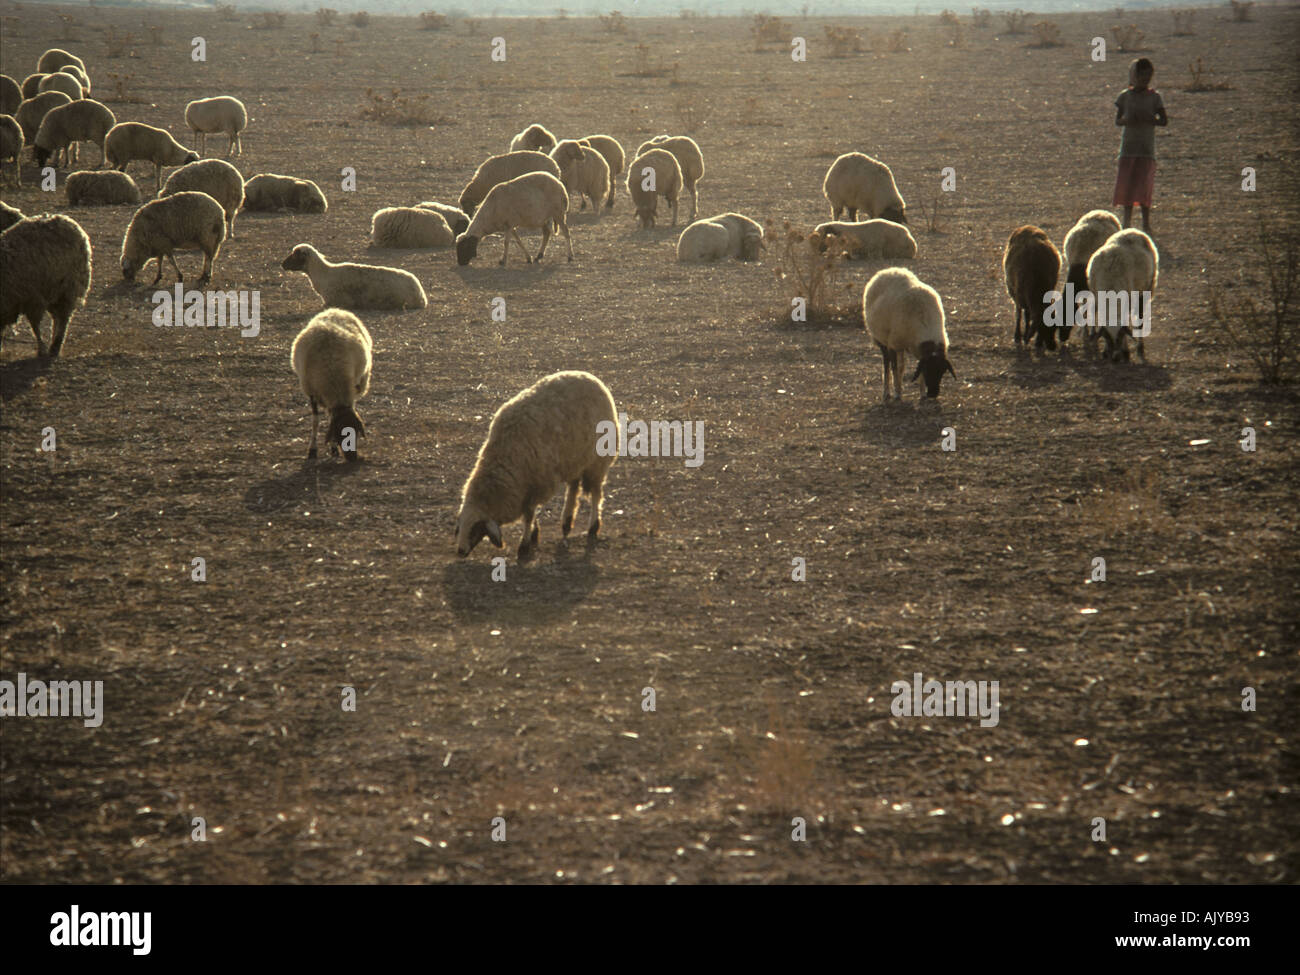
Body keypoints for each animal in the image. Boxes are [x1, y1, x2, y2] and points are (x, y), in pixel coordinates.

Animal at [0, 213, 92, 358]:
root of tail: (64, 218)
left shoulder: (32, 298)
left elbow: (35, 326)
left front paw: (41, 349)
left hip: (69, 287)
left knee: (64, 318)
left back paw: (56, 346)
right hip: (53, 288)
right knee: (57, 318)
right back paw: (54, 343)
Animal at [290, 309, 373, 462]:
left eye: (356, 433)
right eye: (339, 434)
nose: (352, 458)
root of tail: (335, 309)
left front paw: (333, 449)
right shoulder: (311, 391)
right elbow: (315, 421)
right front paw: (312, 450)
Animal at [454, 370, 617, 561]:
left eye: (475, 529)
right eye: (460, 527)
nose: (460, 551)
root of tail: (589, 376)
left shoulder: (537, 483)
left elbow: (529, 515)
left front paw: (525, 545)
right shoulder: (528, 487)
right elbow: (530, 513)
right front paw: (534, 533)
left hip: (596, 462)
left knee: (596, 493)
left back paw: (593, 526)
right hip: (574, 459)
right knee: (573, 488)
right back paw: (566, 522)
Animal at [862, 266, 955, 401]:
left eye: (942, 371)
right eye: (928, 370)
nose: (933, 394)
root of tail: (888, 270)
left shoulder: (917, 349)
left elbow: (913, 368)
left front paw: (922, 393)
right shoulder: (894, 344)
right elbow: (895, 368)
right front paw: (897, 393)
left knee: (901, 364)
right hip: (882, 339)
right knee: (887, 364)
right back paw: (887, 392)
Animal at [1085, 228, 1158, 363]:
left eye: (1120, 336)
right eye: (1106, 337)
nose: (1115, 357)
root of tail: (1133, 230)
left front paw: (1126, 352)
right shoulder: (1096, 294)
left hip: (1146, 289)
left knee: (1139, 320)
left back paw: (1140, 348)